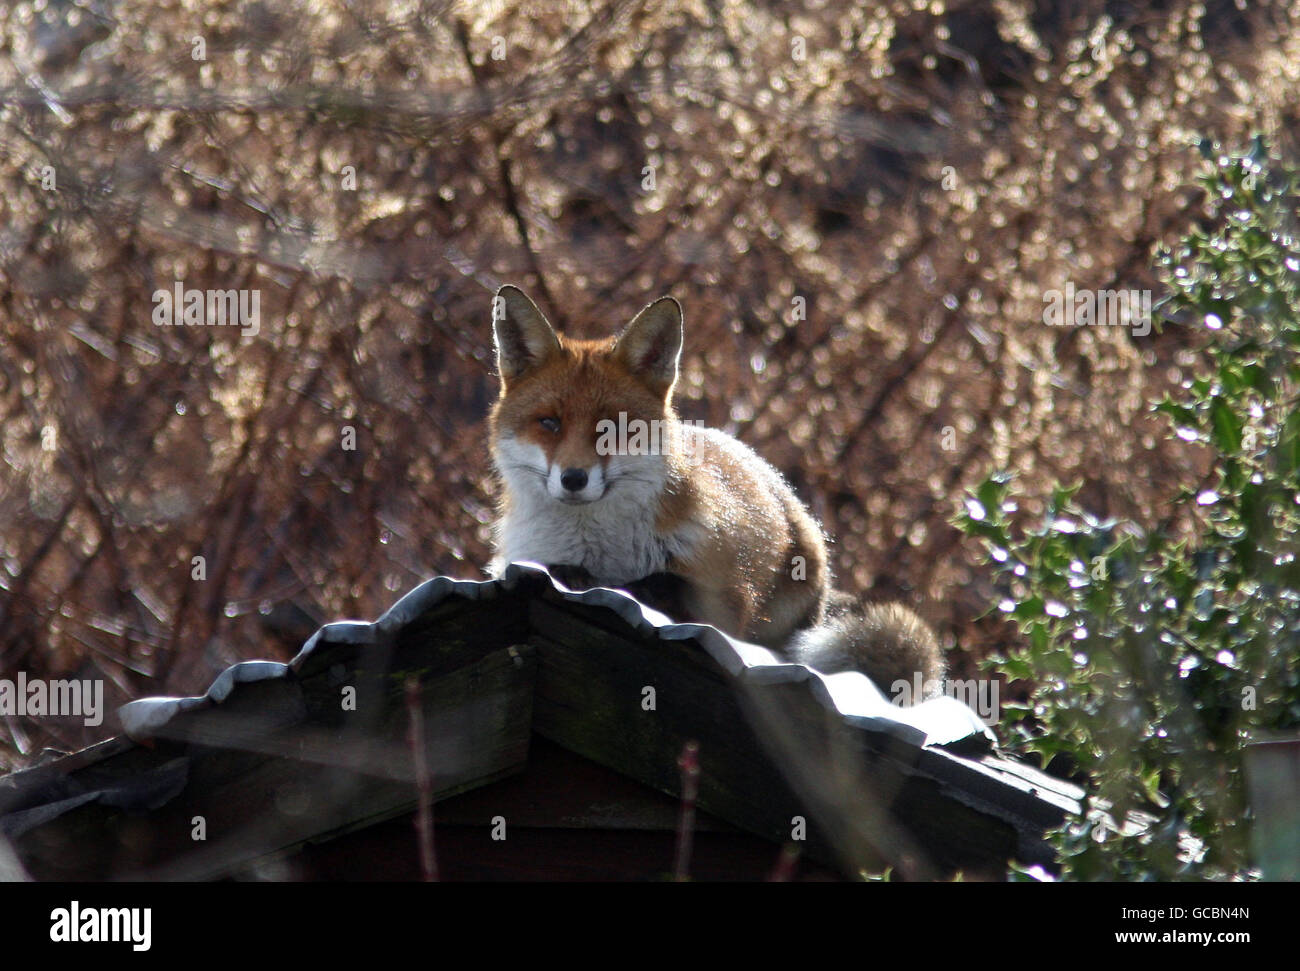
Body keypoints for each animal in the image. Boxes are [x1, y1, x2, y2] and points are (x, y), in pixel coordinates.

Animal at [486, 284, 944, 700]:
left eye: (611, 428)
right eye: (549, 423)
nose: (574, 478)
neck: (600, 547)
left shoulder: (724, 595)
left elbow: (667, 586)